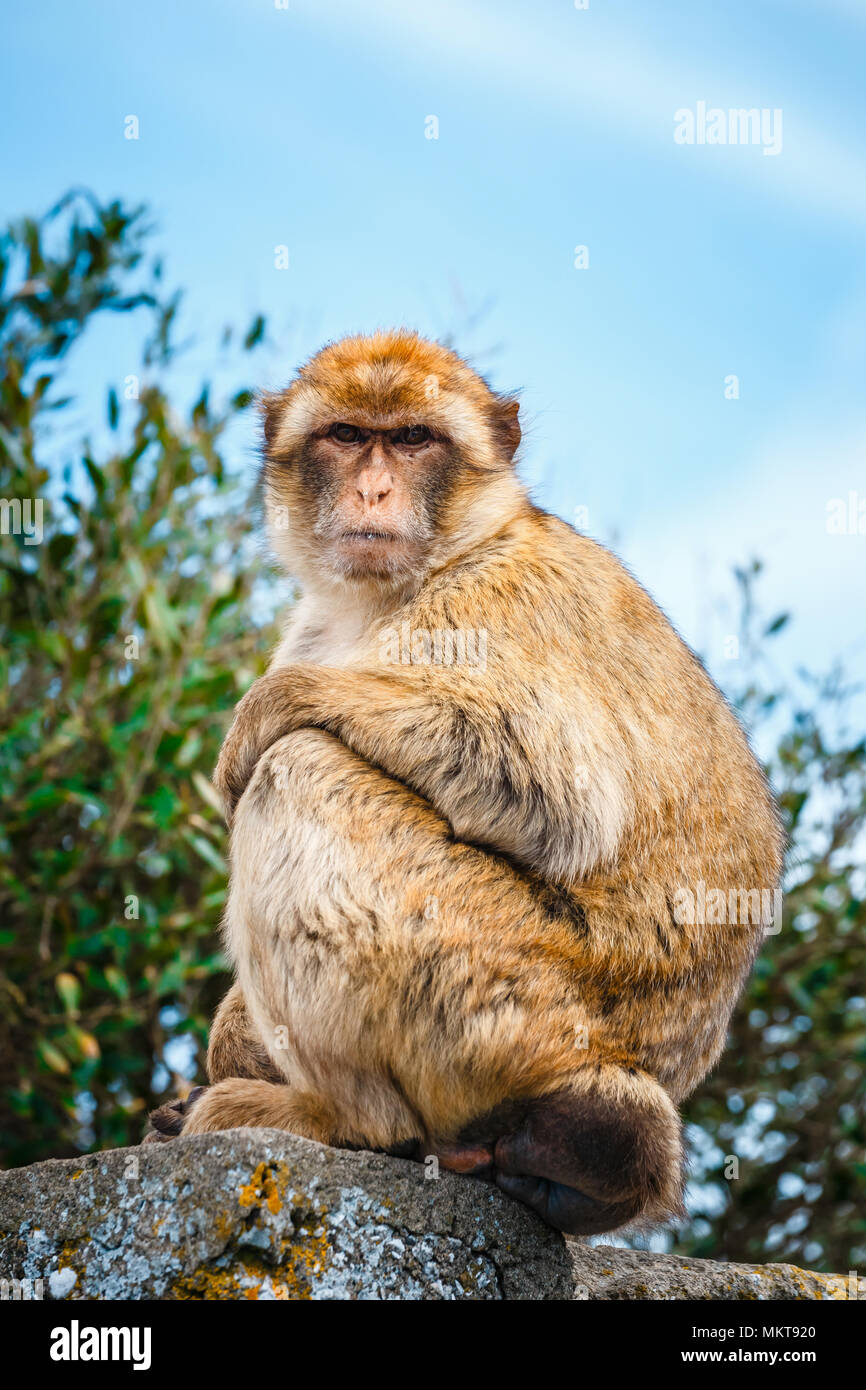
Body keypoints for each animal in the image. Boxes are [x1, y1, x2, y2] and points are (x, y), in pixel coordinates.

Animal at [147, 329, 783, 1237]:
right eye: (347, 436)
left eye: (414, 440)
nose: (375, 488)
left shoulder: (495, 600)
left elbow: (555, 793)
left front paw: (270, 708)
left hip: (507, 998)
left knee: (302, 768)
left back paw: (348, 1122)